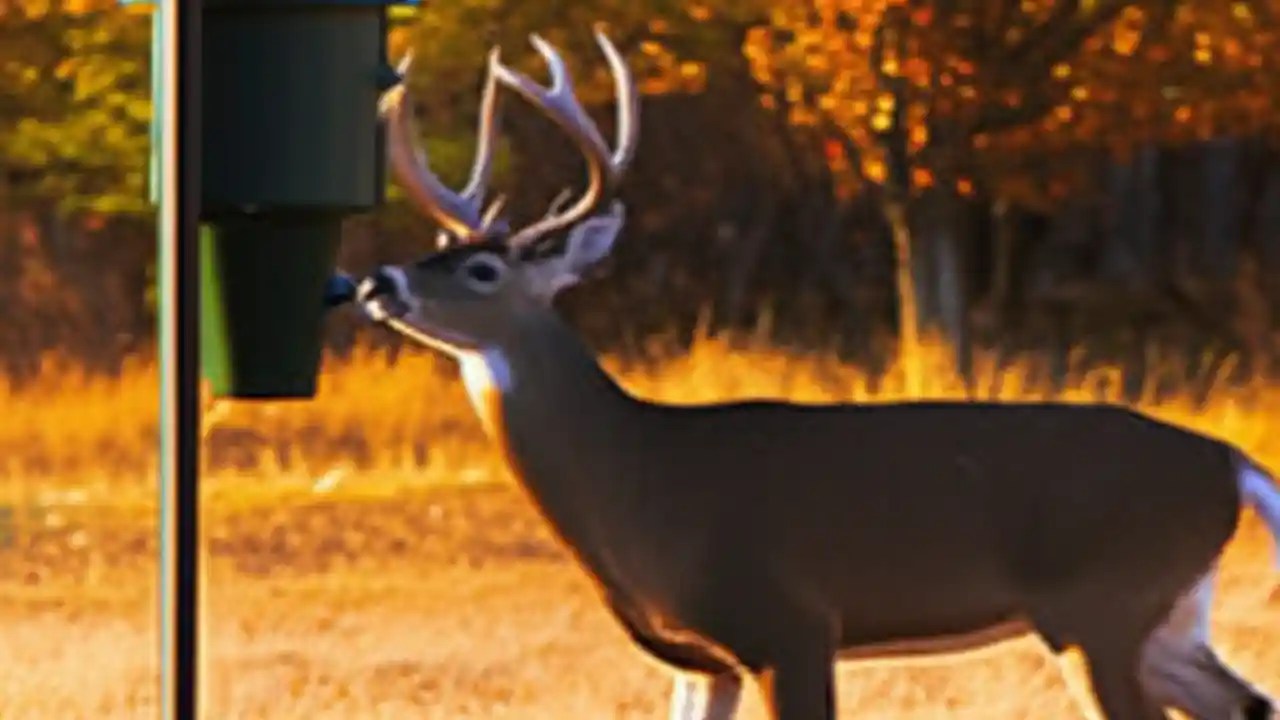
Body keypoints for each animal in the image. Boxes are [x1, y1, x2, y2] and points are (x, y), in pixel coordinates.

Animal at [329, 28, 1280, 720]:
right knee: (1249, 704)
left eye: (483, 270)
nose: (378, 282)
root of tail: (1230, 461)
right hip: (1165, 617)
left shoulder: (787, 624)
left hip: (1103, 606)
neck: (635, 479)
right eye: (441, 248)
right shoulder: (699, 659)